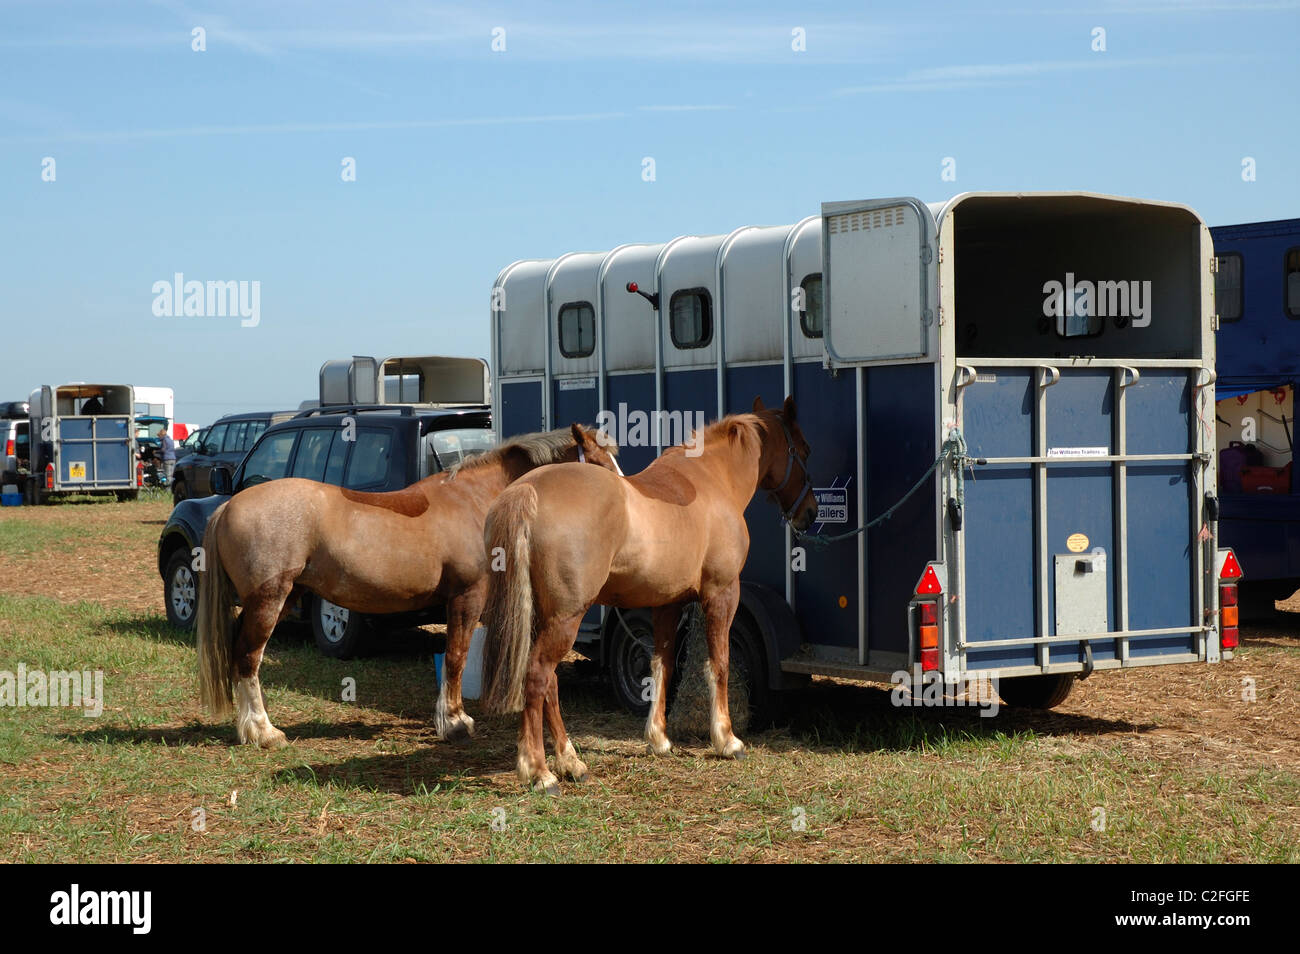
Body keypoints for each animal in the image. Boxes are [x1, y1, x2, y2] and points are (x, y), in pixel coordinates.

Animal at [196, 423, 621, 750]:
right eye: (600, 465)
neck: (473, 500)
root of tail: (229, 504)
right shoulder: (466, 596)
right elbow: (455, 657)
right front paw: (455, 723)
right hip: (269, 599)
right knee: (248, 658)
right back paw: (264, 732)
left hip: (281, 598)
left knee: (239, 653)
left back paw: (248, 730)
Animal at [480, 396, 817, 793]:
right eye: (804, 451)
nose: (810, 513)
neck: (712, 481)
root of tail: (527, 490)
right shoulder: (722, 594)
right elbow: (719, 663)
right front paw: (727, 740)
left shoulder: (666, 603)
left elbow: (662, 664)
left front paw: (659, 739)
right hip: (565, 617)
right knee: (536, 677)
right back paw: (540, 771)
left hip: (540, 617)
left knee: (550, 683)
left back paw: (571, 762)